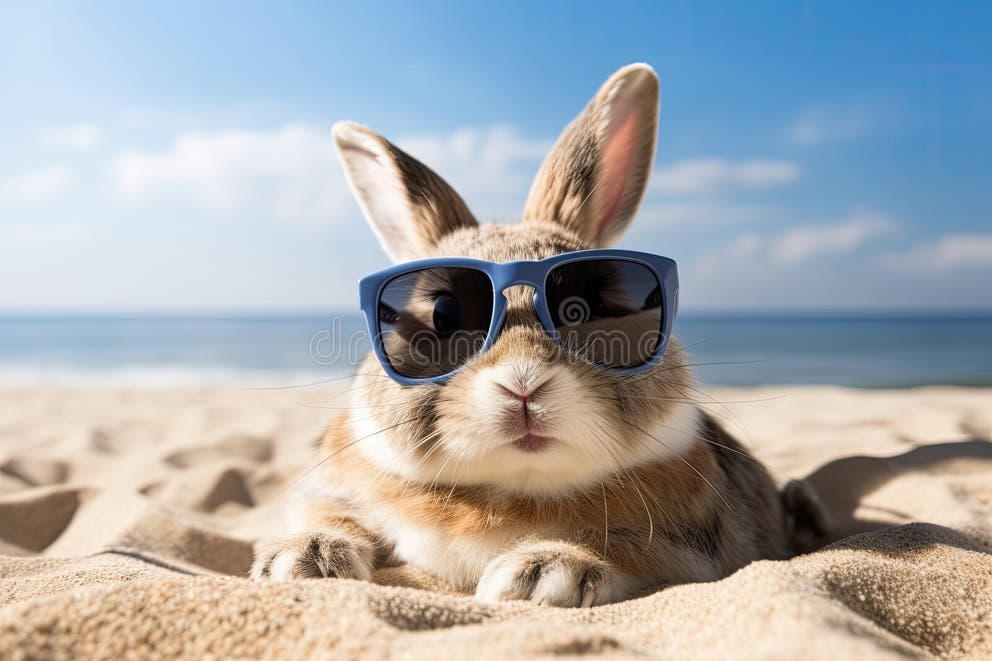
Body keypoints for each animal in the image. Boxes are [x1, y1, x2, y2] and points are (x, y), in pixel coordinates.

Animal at [251, 63, 828, 606]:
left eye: (591, 308)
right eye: (442, 315)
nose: (523, 385)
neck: (509, 489)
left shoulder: (684, 544)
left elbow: (622, 546)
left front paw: (540, 574)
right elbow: (333, 518)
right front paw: (302, 559)